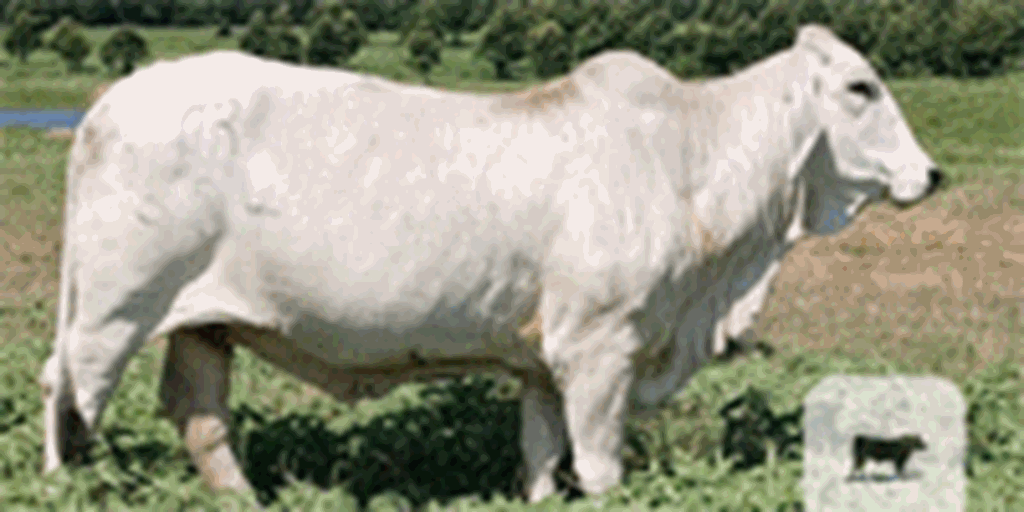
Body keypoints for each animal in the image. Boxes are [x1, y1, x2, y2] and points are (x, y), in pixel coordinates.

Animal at [39, 24, 944, 504]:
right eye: (860, 88)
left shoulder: (543, 360)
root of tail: (111, 102)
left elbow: (541, 456)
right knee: (68, 393)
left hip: (205, 321)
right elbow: (600, 463)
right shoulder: (600, 350)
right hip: (112, 307)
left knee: (198, 414)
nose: (931, 174)